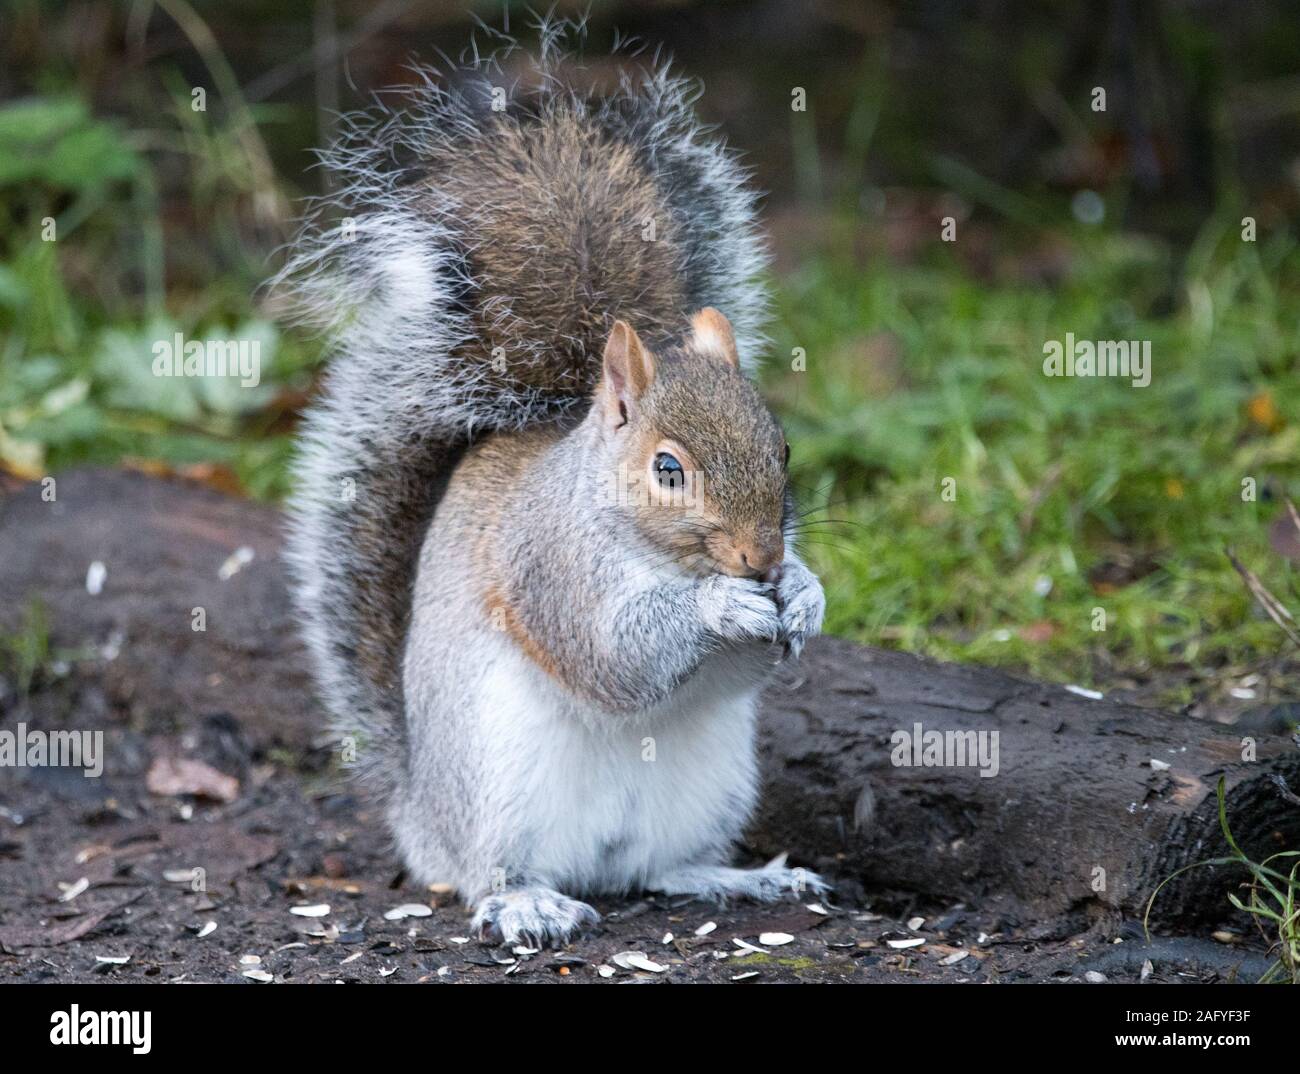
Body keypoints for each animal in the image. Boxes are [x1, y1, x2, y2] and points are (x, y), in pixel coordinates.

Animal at [277, 26, 828, 945]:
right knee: (491, 871)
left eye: (782, 448)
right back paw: (525, 901)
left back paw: (743, 878)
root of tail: (420, 809)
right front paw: (722, 606)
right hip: (496, 780)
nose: (761, 559)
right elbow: (613, 654)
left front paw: (806, 592)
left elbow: (740, 670)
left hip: (711, 785)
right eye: (667, 469)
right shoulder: (550, 564)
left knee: (661, 868)